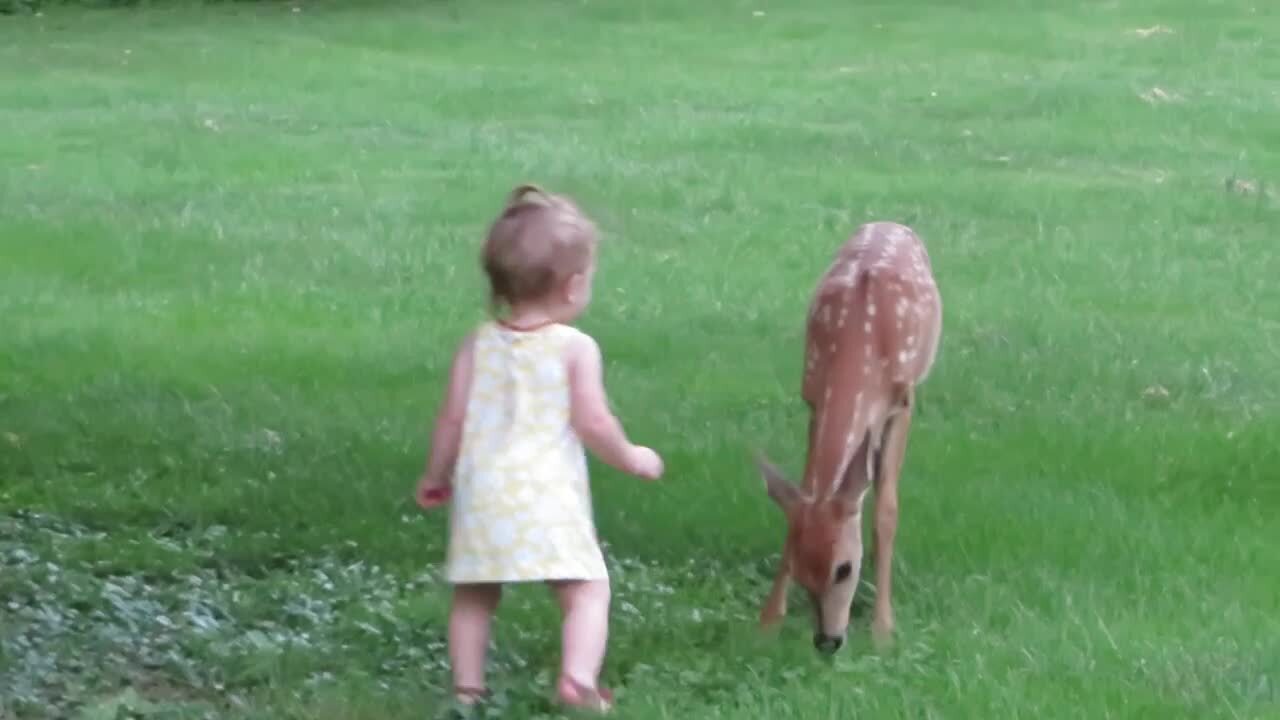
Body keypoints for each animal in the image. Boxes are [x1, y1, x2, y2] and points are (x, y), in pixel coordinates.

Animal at [754, 221, 942, 654]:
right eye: (801, 571)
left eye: (844, 569)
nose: (827, 641)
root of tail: (892, 223)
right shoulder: (813, 395)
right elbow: (806, 490)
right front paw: (769, 620)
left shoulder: (902, 402)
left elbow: (886, 510)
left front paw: (883, 629)